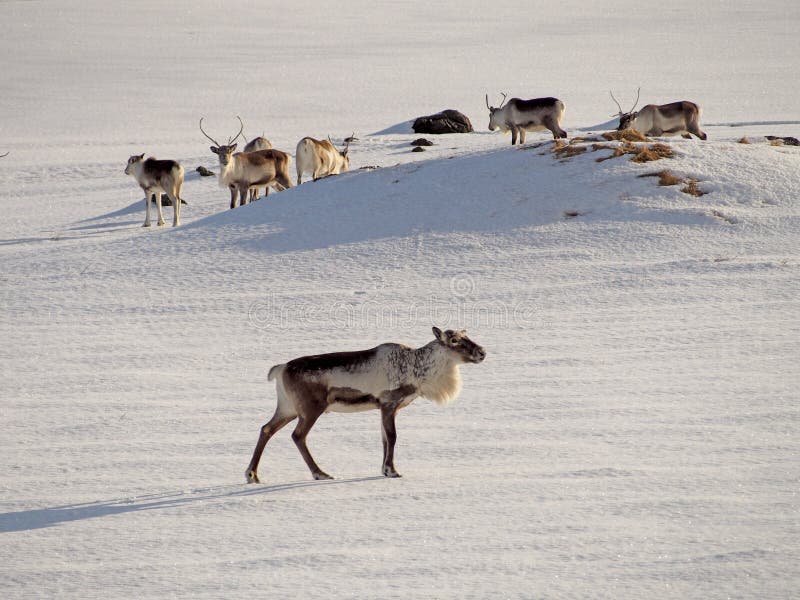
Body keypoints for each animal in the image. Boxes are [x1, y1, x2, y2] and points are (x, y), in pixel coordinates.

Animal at [245, 327, 487, 484]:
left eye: (467, 336)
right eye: (453, 340)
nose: (482, 352)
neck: (419, 370)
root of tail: (281, 369)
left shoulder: (384, 408)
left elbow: (383, 439)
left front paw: (384, 469)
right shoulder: (389, 403)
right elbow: (392, 437)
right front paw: (392, 471)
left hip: (287, 407)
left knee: (266, 429)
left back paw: (252, 475)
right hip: (310, 408)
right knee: (297, 436)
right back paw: (320, 473)